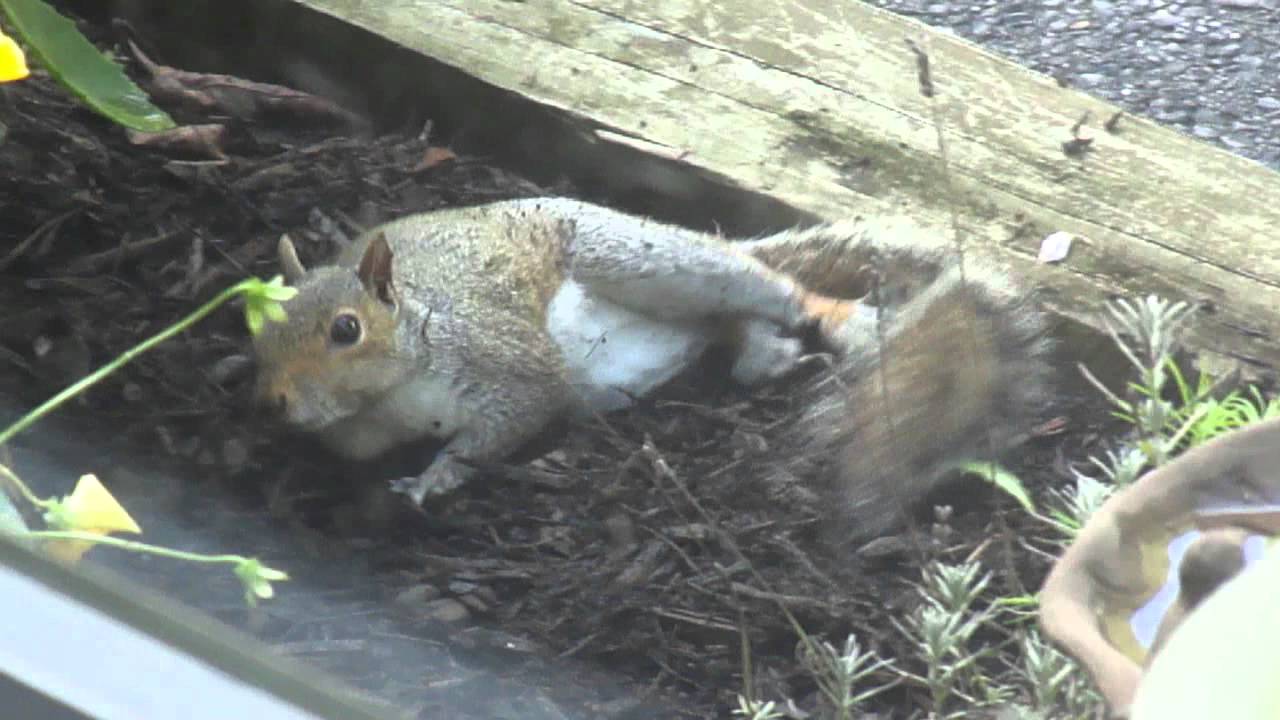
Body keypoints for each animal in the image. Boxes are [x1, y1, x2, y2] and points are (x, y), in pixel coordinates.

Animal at [251, 197, 1054, 537]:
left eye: (347, 329)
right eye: (254, 329)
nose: (275, 404)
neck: (387, 398)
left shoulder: (502, 359)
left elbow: (512, 418)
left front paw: (434, 479)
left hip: (646, 260)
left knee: (784, 293)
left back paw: (853, 328)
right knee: (738, 332)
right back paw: (769, 359)